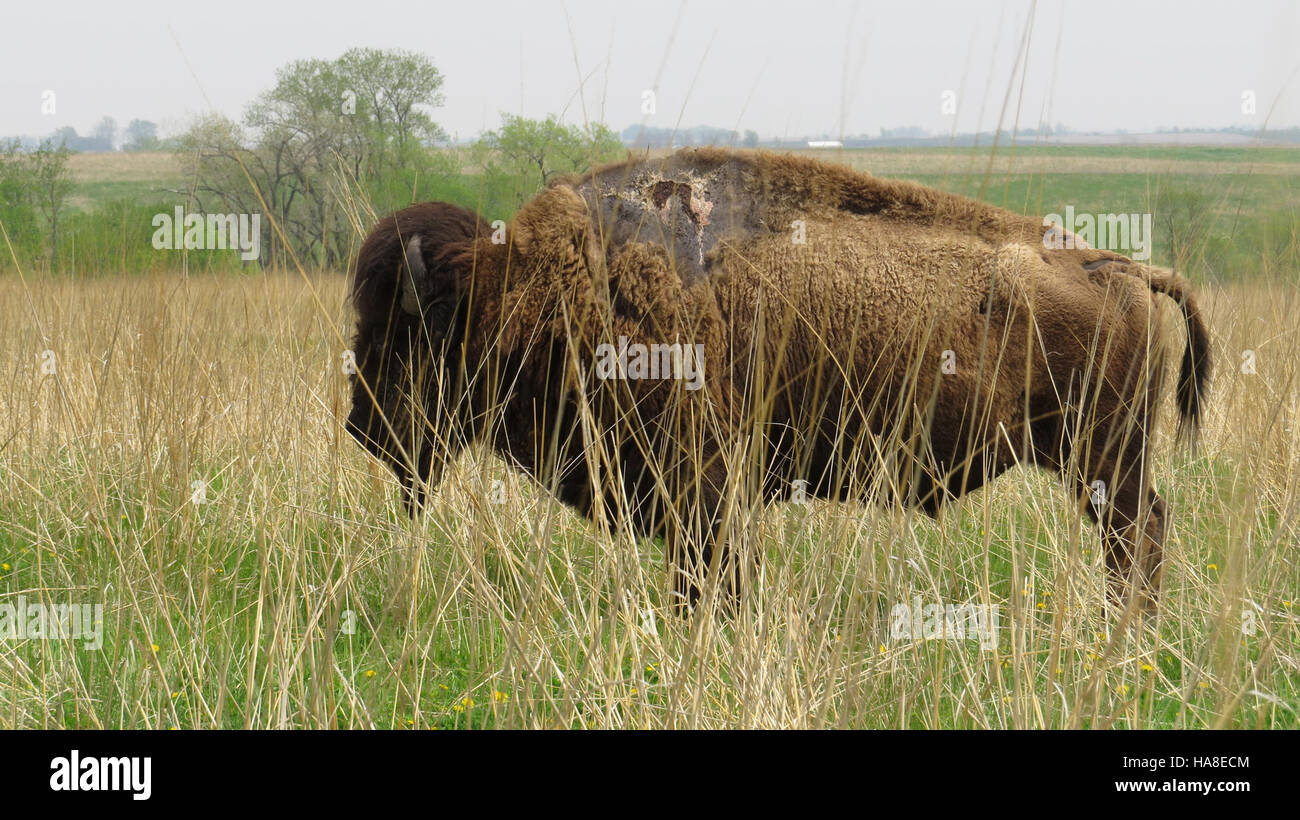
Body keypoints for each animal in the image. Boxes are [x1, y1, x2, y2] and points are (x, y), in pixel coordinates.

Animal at [345, 148, 1211, 614]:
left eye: (401, 332)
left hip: (1102, 459)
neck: (543, 286)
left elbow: (708, 577)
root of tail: (1126, 268)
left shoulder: (703, 488)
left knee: (1138, 533)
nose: (361, 425)